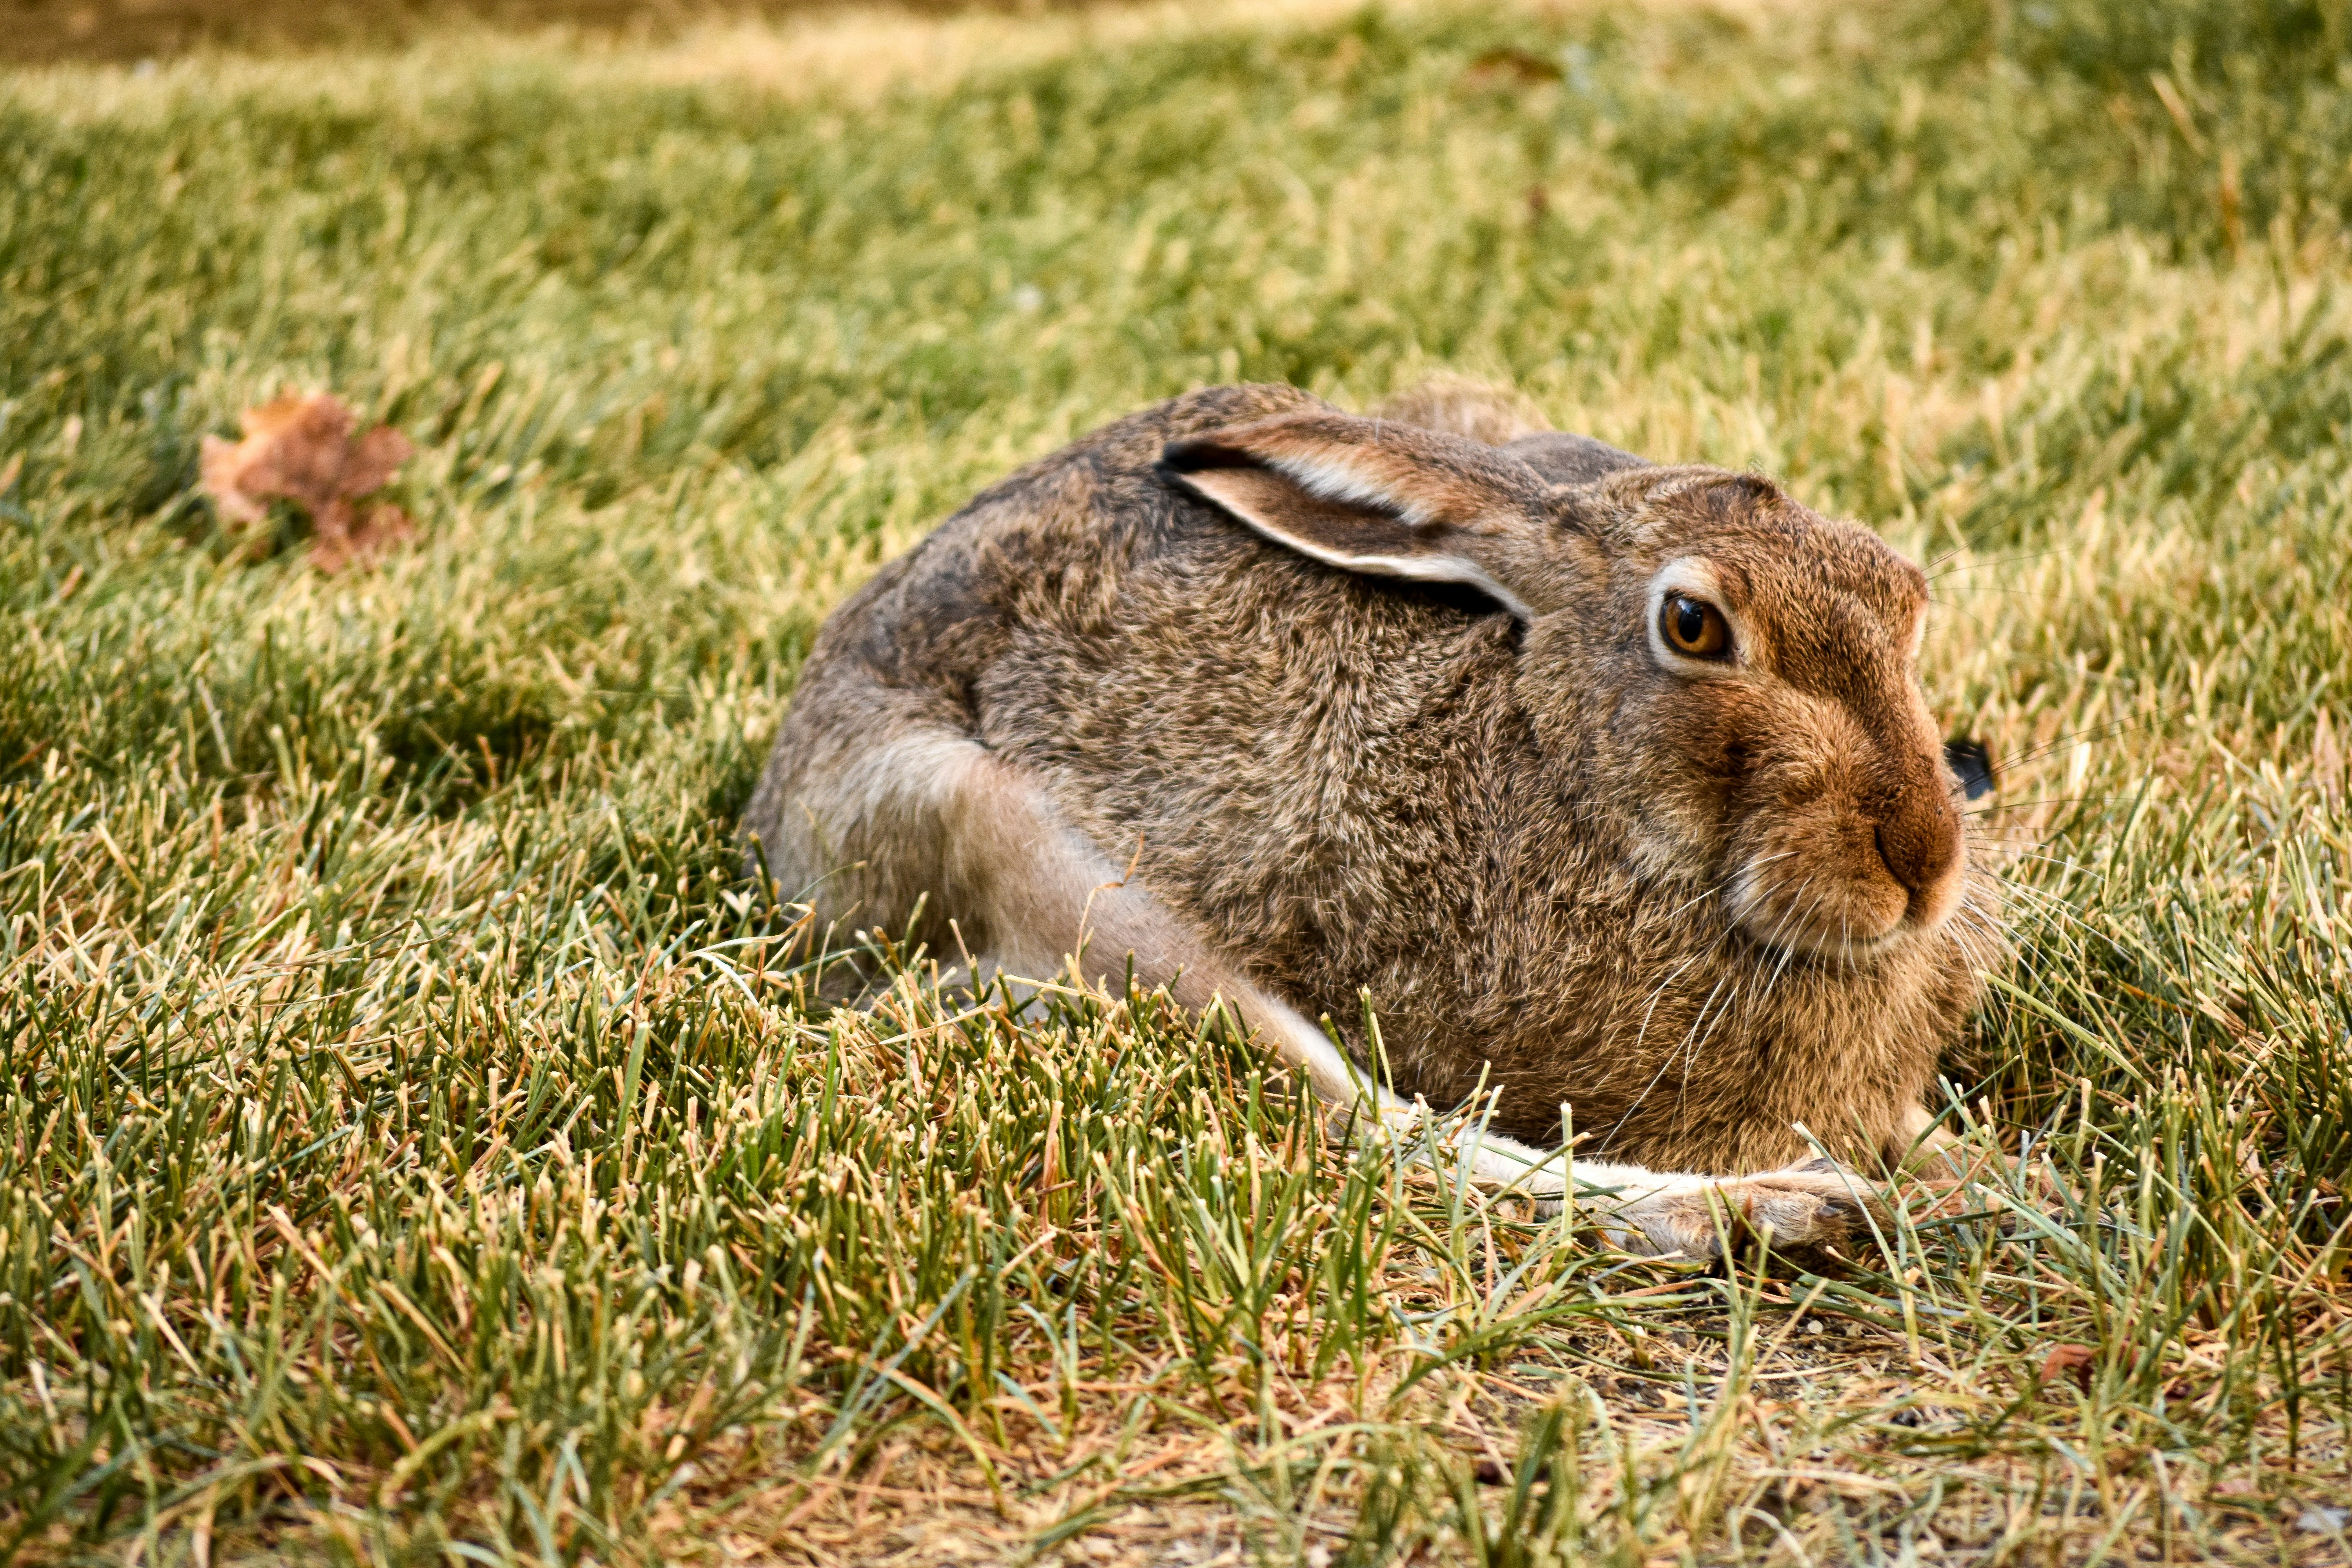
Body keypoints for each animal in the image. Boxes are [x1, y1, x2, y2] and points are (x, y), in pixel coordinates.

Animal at [743, 381, 2006, 1259]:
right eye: (1692, 625)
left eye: (1905, 598)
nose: (1923, 860)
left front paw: (1974, 1165)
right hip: (1007, 836)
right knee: (1368, 1119)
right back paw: (1778, 1211)